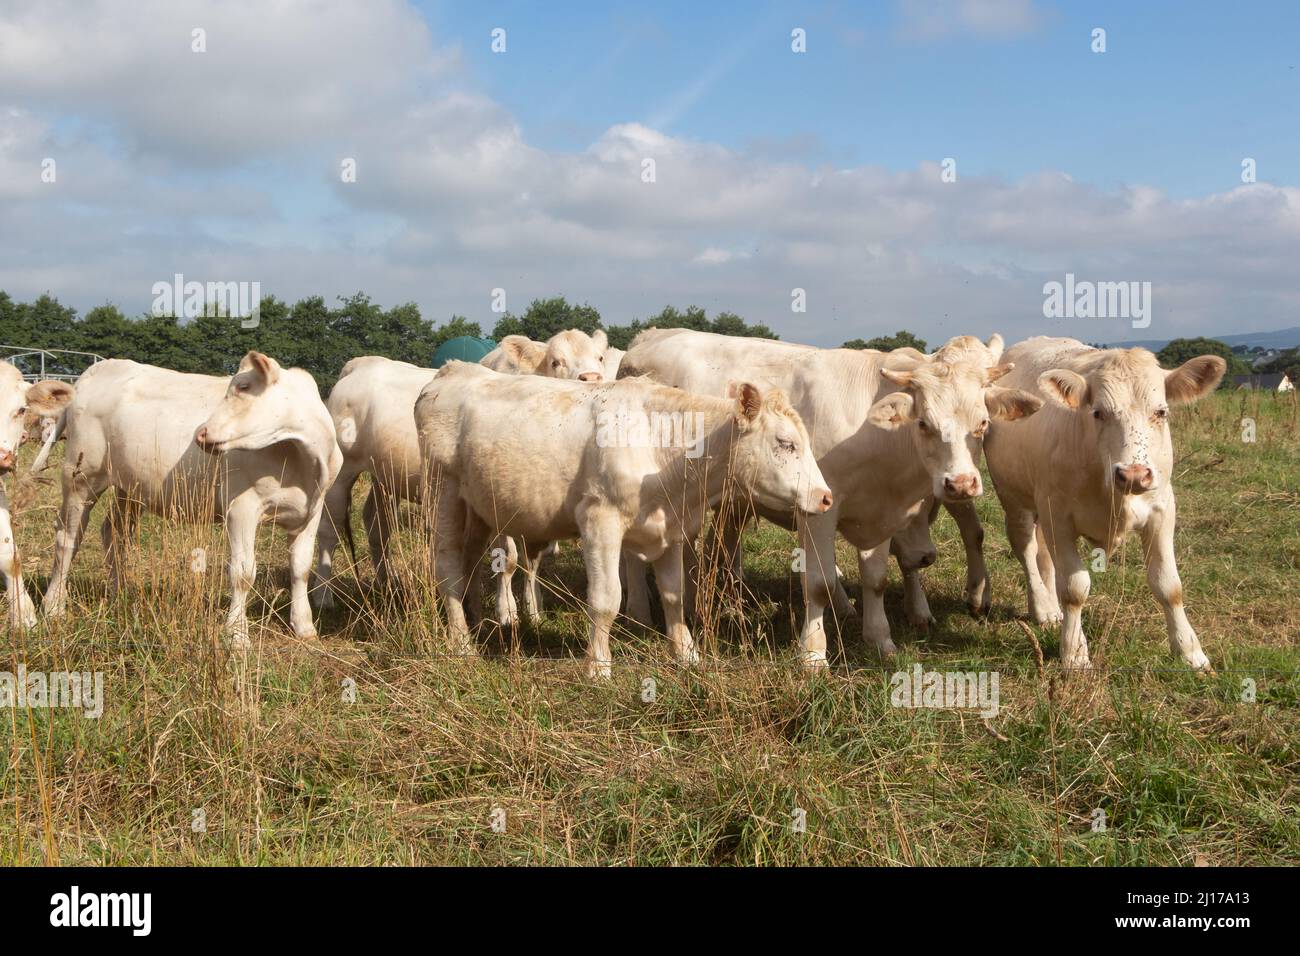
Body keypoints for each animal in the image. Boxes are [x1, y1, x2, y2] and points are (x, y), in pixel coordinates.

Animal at [42, 353, 341, 646]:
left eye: (243, 386)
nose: (201, 433)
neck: (305, 460)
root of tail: (99, 369)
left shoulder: (312, 510)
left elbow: (301, 567)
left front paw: (304, 625)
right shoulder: (241, 507)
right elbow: (243, 572)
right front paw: (237, 634)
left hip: (129, 486)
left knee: (115, 532)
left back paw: (119, 593)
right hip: (81, 477)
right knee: (68, 538)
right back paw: (54, 605)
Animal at [414, 361, 832, 677]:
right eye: (785, 443)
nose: (826, 497)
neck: (660, 445)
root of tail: (451, 370)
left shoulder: (672, 528)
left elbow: (674, 595)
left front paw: (686, 654)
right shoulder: (600, 519)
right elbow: (606, 599)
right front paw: (598, 666)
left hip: (480, 505)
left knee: (469, 563)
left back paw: (478, 624)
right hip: (443, 492)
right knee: (448, 565)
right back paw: (462, 643)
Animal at [619, 328, 1043, 668]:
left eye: (983, 423)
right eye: (924, 423)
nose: (961, 484)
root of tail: (648, 338)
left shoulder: (880, 513)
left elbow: (876, 579)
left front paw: (880, 639)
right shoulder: (819, 508)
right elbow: (819, 583)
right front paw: (812, 654)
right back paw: (640, 613)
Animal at [982, 337, 1225, 670]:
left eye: (1161, 412)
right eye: (1098, 413)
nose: (1134, 474)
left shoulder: (1163, 510)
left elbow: (1169, 585)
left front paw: (1190, 651)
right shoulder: (1058, 516)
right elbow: (1074, 589)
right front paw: (1074, 653)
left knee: (1044, 557)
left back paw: (1051, 611)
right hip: (1015, 500)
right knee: (1027, 551)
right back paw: (1042, 606)